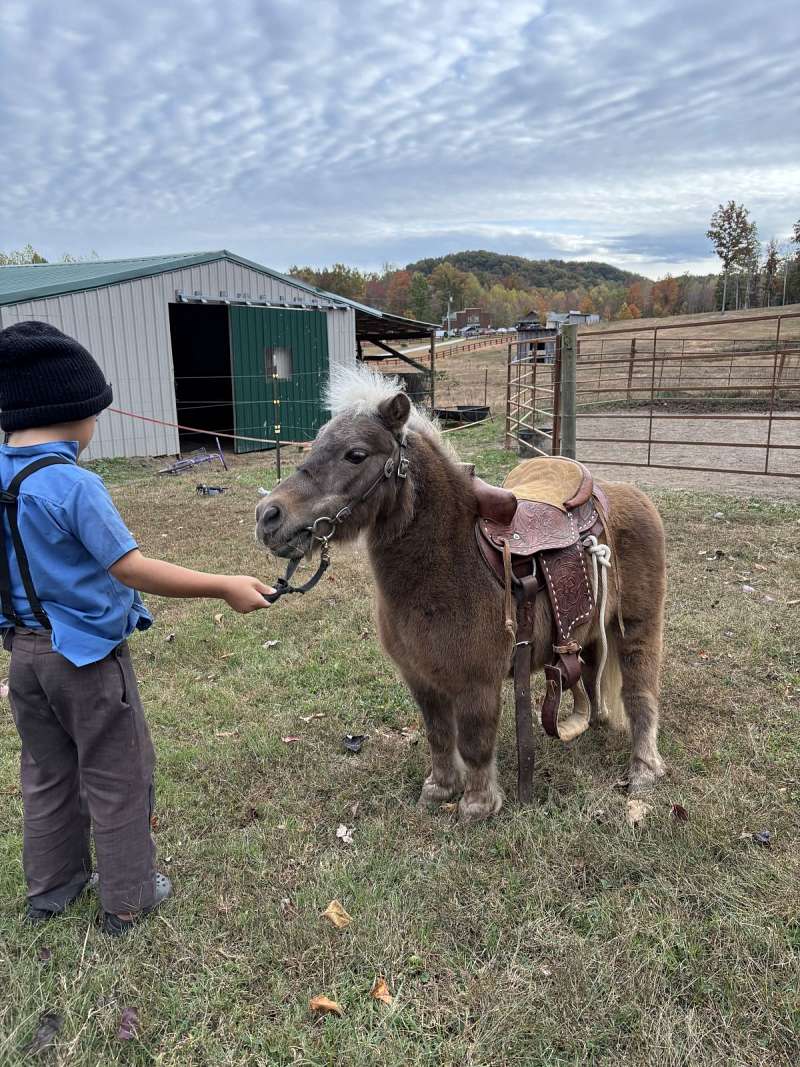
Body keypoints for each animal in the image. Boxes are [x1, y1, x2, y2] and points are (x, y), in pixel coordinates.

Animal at [255, 365, 667, 822]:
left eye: (356, 454)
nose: (268, 516)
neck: (447, 561)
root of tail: (627, 493)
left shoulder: (476, 683)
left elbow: (473, 742)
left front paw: (477, 804)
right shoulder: (421, 678)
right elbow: (439, 735)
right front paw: (439, 790)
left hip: (637, 629)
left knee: (640, 694)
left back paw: (643, 771)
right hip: (589, 632)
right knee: (592, 675)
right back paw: (591, 724)